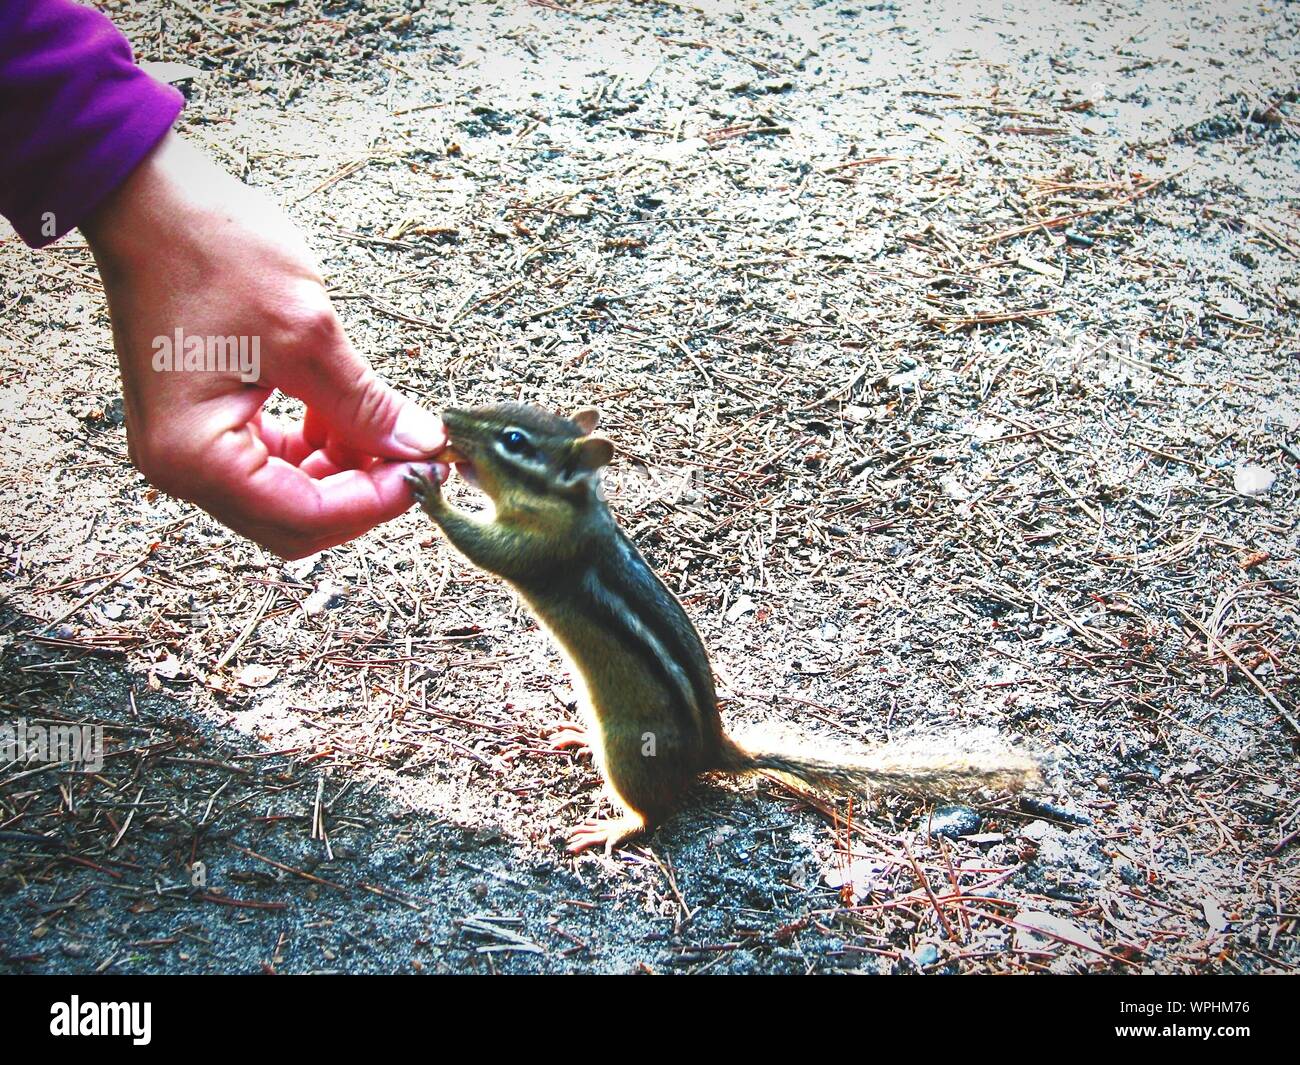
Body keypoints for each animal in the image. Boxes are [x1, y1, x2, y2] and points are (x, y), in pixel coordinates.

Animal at [406, 403, 1040, 854]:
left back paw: (613, 830)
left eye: (514, 440)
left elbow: (483, 549)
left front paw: (430, 494)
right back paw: (577, 737)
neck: (575, 504)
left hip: (629, 754)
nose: (446, 420)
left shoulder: (538, 550)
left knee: (656, 813)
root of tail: (714, 747)